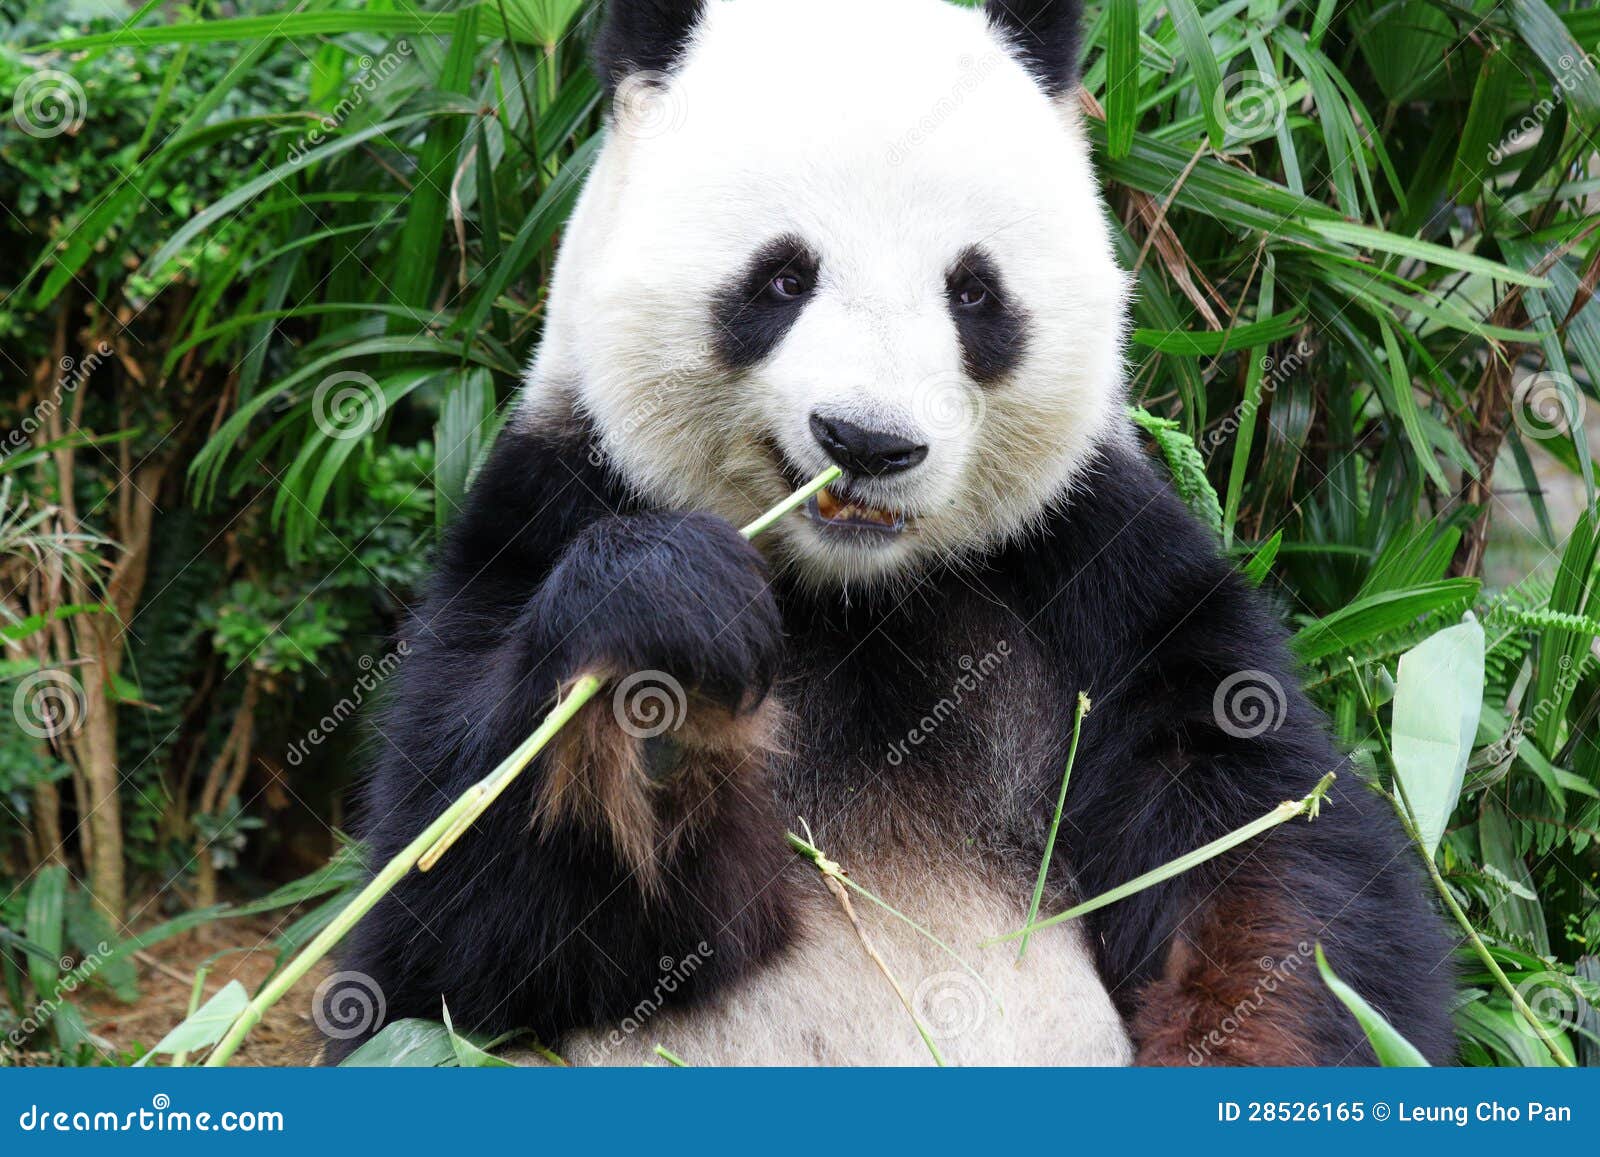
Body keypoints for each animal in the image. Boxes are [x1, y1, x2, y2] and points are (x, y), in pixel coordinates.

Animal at [327, 0, 1456, 1065]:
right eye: (783, 278)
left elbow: (1269, 856)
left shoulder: (1095, 565)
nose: (867, 441)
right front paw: (667, 644)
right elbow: (442, 924)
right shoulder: (547, 509)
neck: (854, 591)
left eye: (973, 290)